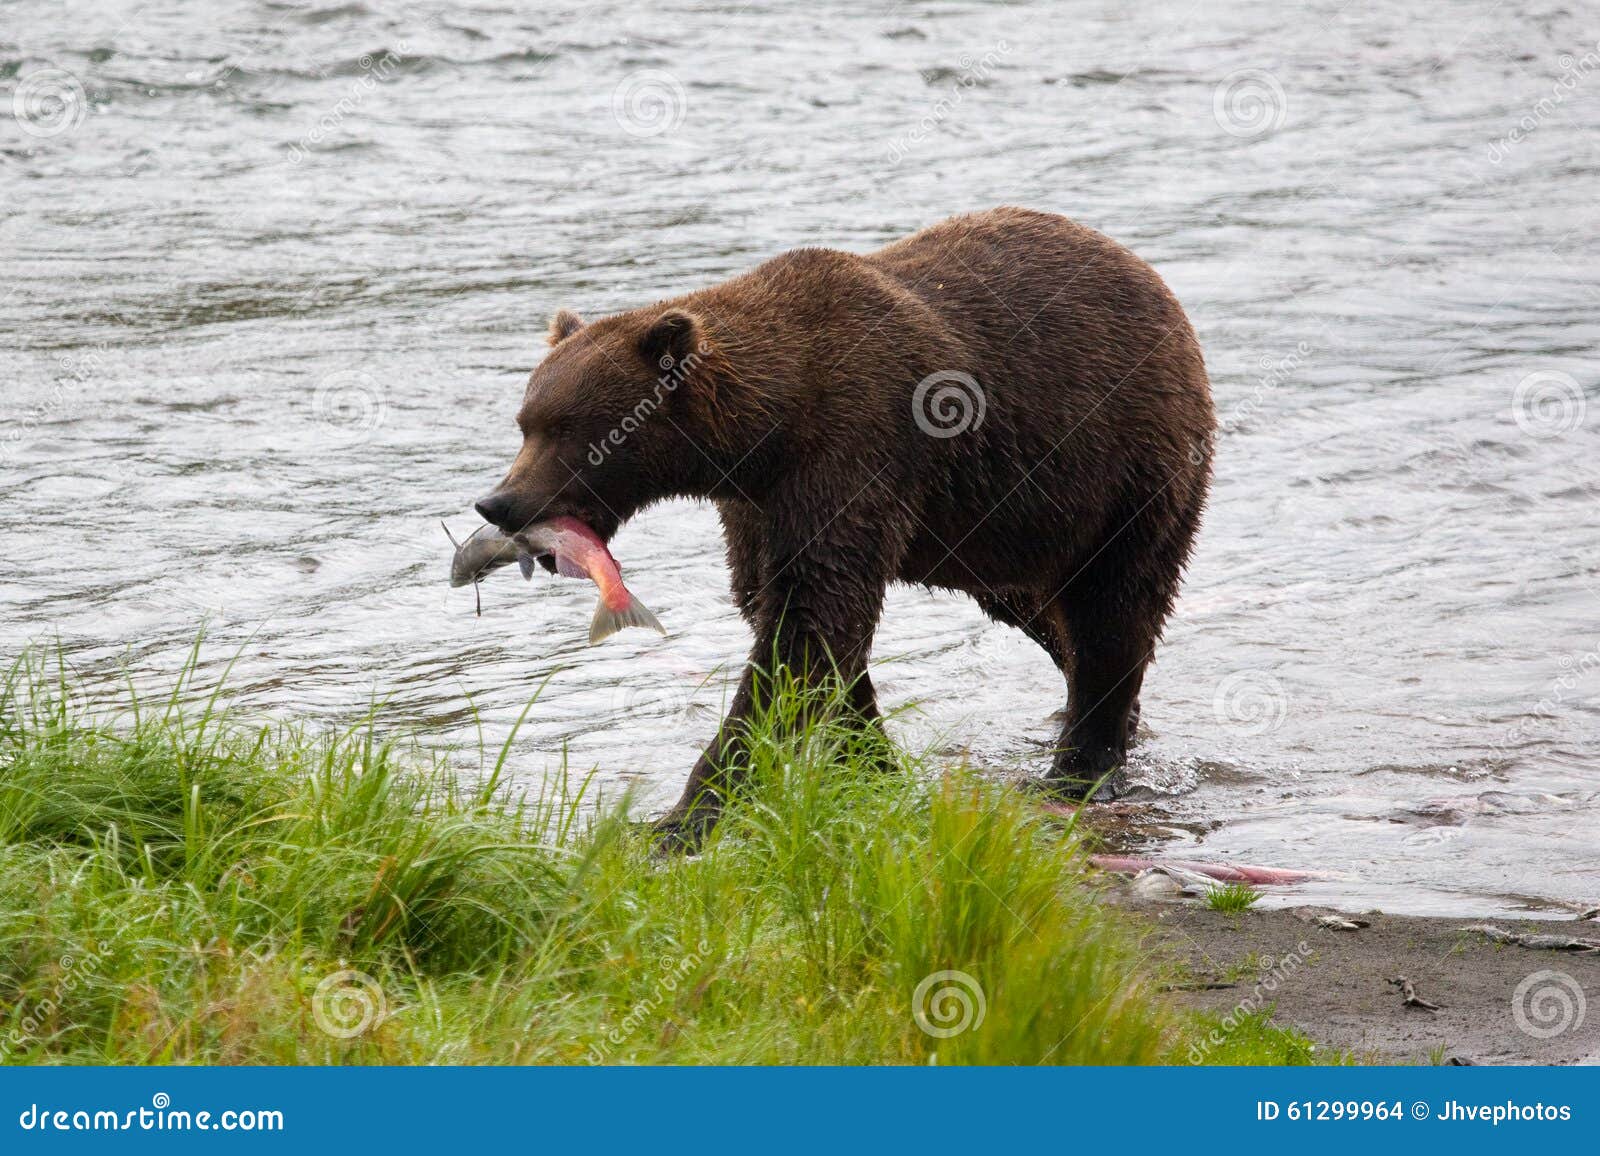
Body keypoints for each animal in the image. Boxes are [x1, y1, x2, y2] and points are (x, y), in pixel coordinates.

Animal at [474, 206, 1214, 842]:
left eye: (573, 430)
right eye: (525, 421)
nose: (499, 502)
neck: (762, 436)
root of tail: (1156, 285)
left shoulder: (852, 451)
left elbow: (808, 623)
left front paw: (678, 819)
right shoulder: (759, 508)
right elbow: (796, 618)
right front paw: (871, 760)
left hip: (1129, 467)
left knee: (1115, 607)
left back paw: (1082, 765)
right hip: (1008, 526)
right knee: (1041, 609)